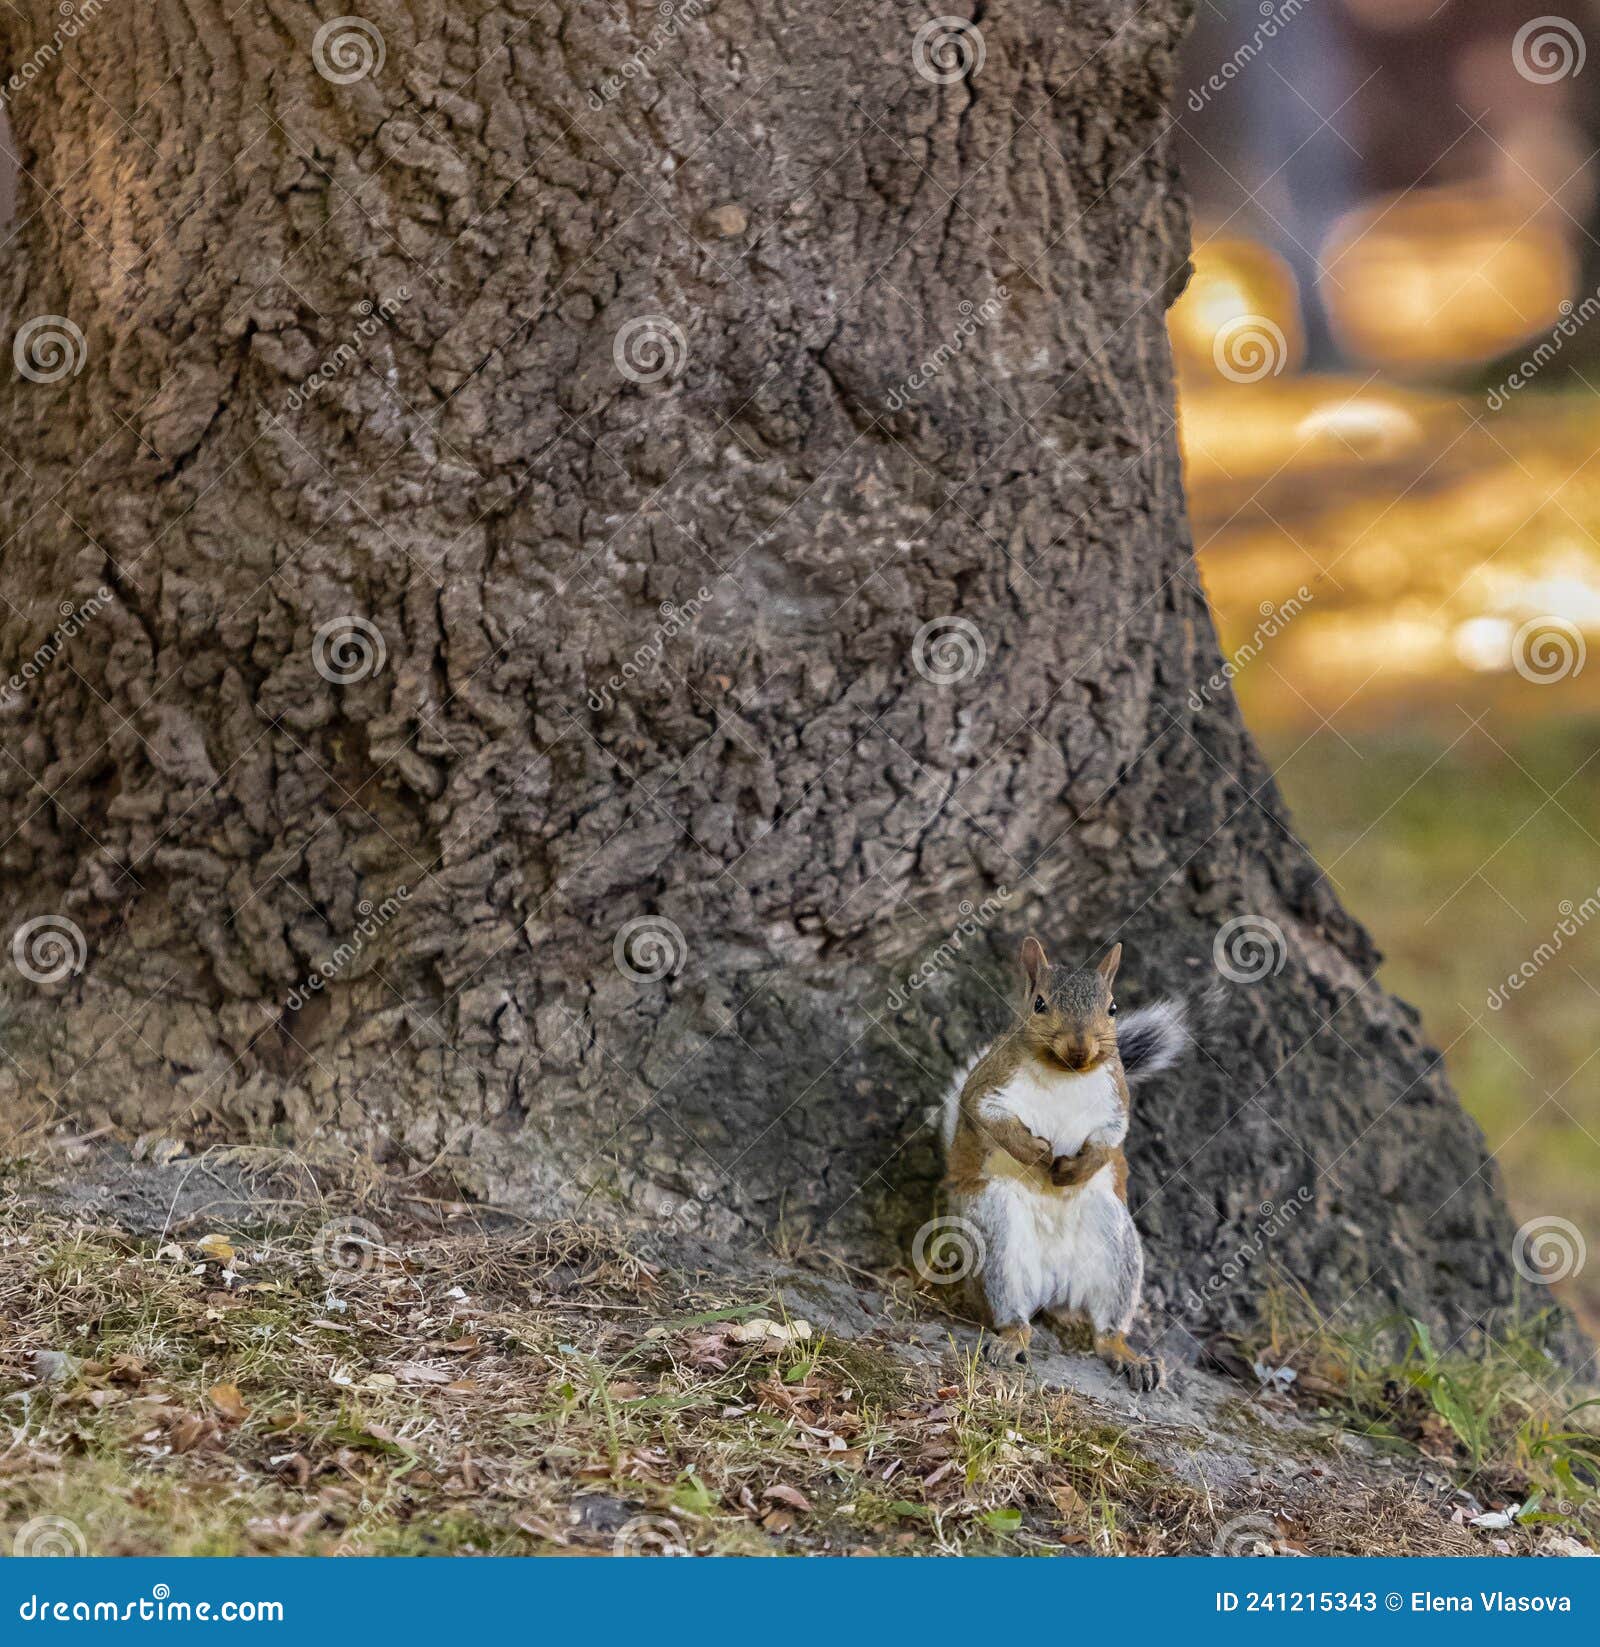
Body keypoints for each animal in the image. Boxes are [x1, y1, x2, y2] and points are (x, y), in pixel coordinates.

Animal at [937, 935, 1189, 1392]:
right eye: (1039, 1003)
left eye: (1112, 1008)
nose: (1080, 1047)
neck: (1066, 1075)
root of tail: (1055, 1289)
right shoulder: (988, 1090)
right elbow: (993, 1123)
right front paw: (1037, 1152)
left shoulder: (1115, 1107)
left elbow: (1109, 1143)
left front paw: (1071, 1168)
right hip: (998, 1235)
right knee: (1014, 1314)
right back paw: (1010, 1339)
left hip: (1114, 1244)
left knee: (1107, 1328)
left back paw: (1130, 1357)